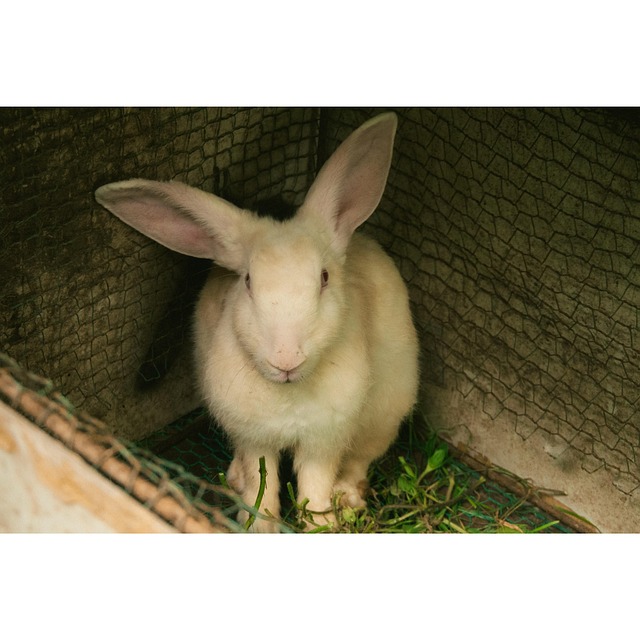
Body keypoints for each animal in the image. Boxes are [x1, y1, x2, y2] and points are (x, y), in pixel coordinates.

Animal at [95, 112, 419, 532]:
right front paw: (260, 524)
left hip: (385, 414)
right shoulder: (254, 438)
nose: (286, 359)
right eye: (248, 282)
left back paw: (348, 497)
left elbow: (315, 486)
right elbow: (260, 484)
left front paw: (323, 523)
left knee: (360, 461)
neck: (287, 393)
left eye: (324, 278)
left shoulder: (324, 441)